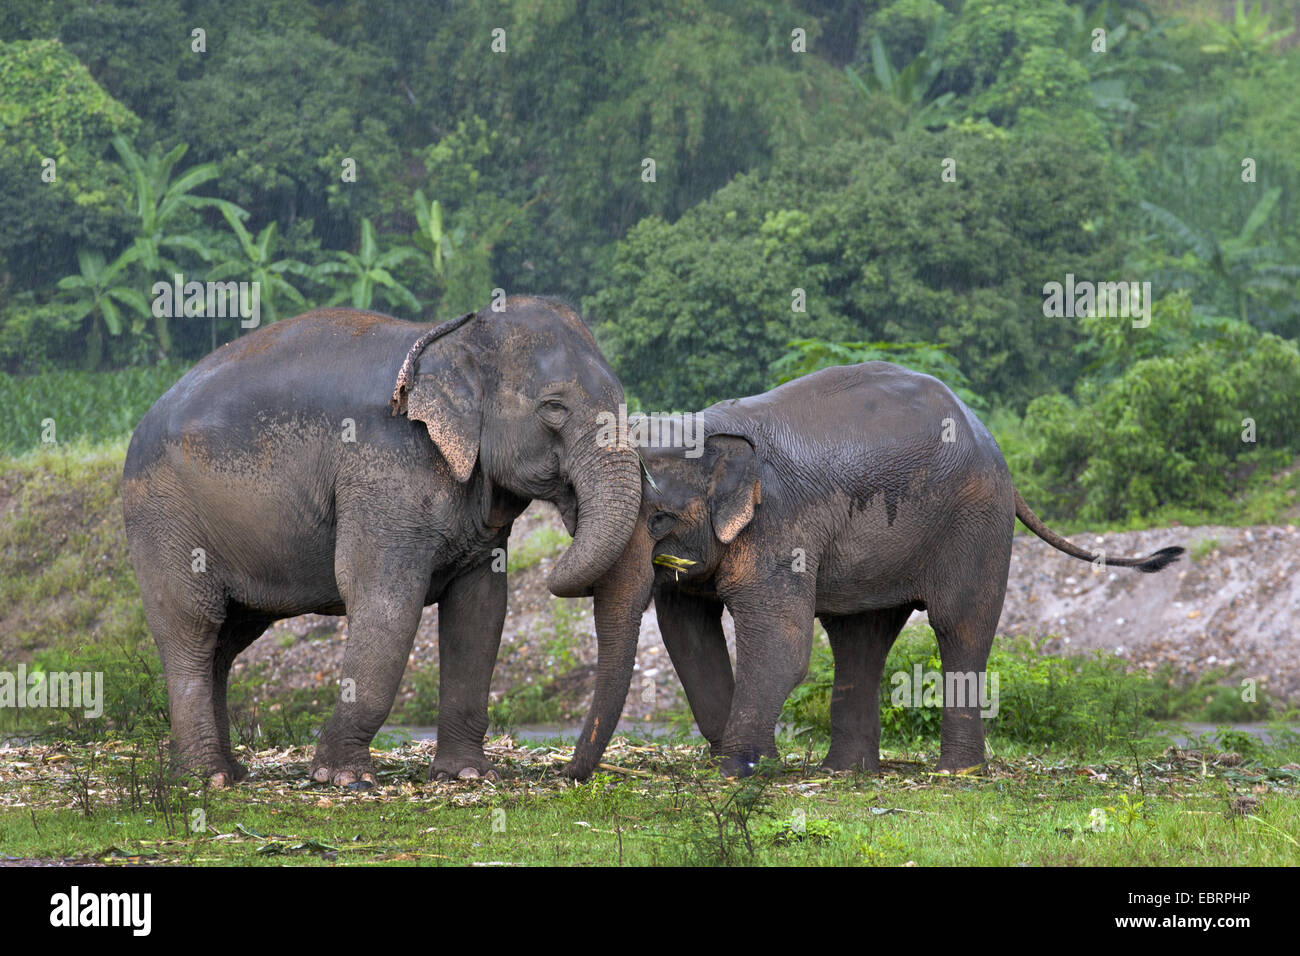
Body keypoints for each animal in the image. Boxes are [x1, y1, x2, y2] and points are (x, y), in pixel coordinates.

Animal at [124, 296, 641, 787]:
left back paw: (229, 773)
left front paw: (467, 775)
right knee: (193, 627)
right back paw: (205, 778)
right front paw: (344, 778)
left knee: (226, 642)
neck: (454, 335)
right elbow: (384, 600)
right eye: (554, 407)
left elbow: (480, 610)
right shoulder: (383, 470)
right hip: (163, 519)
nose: (564, 773)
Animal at [567, 362, 1182, 779]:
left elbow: (781, 643)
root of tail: (990, 439)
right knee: (860, 635)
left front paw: (739, 770)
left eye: (661, 518)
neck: (708, 426)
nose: (572, 778)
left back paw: (956, 773)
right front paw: (749, 762)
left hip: (976, 521)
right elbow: (688, 634)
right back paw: (846, 772)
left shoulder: (781, 525)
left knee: (959, 627)